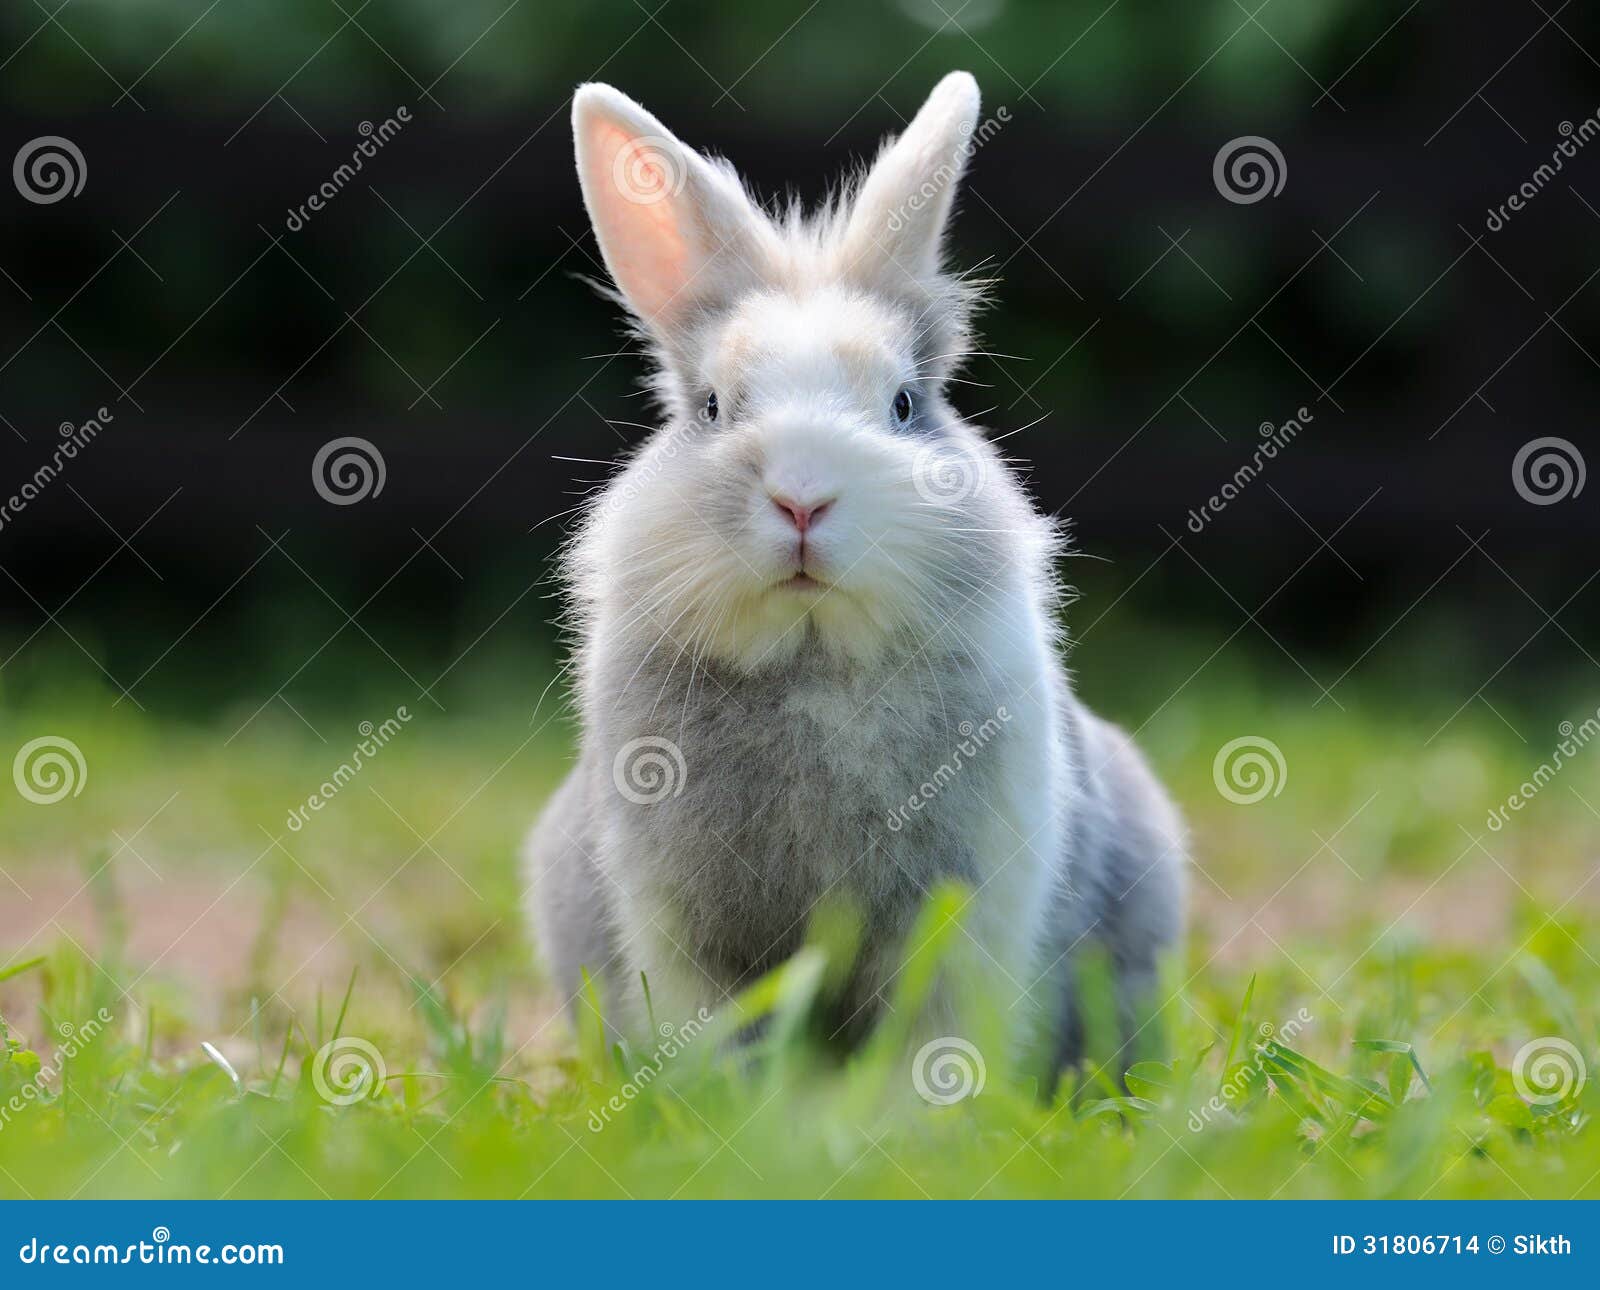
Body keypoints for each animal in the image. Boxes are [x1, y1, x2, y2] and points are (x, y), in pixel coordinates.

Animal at [525, 71, 1186, 1084]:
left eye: (907, 404)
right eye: (711, 408)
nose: (803, 498)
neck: (812, 661)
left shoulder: (969, 912)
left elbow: (934, 1041)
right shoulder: (681, 938)